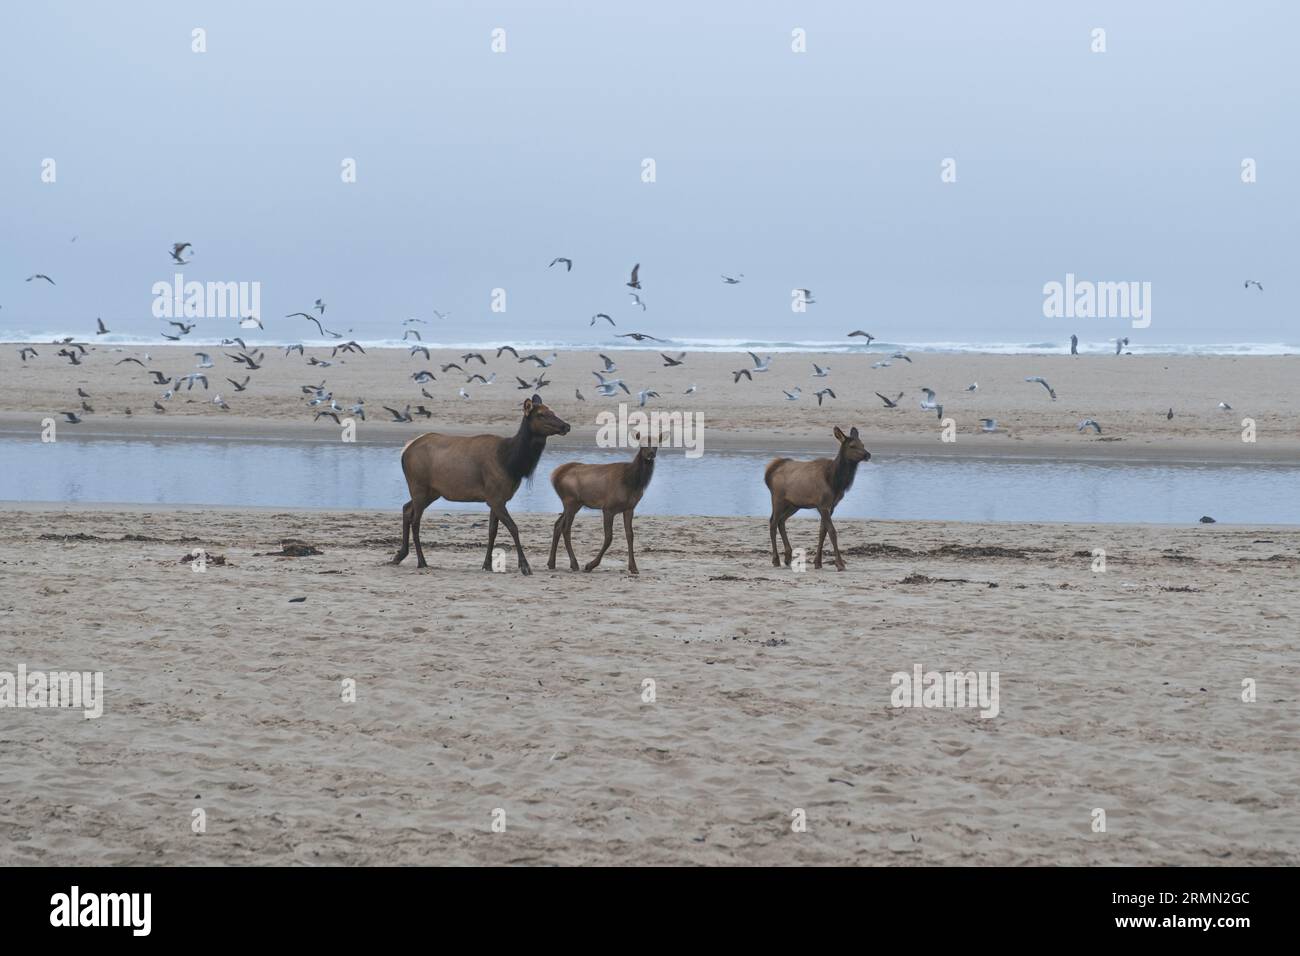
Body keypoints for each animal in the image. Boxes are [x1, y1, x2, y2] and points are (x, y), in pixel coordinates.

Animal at [391, 393, 570, 574]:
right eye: (541, 414)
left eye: (552, 411)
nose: (566, 426)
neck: (511, 464)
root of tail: (405, 451)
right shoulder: (495, 497)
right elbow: (513, 527)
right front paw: (525, 566)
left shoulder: (496, 498)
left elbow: (492, 531)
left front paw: (487, 564)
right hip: (418, 485)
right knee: (415, 521)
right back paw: (421, 561)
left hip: (432, 491)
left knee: (406, 508)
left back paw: (399, 555)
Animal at [547, 427, 665, 574]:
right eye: (642, 444)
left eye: (656, 444)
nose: (651, 454)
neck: (632, 482)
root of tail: (555, 475)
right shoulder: (608, 508)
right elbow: (609, 537)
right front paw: (590, 565)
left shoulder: (629, 508)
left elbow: (630, 535)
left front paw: (633, 567)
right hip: (570, 501)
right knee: (566, 529)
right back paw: (574, 564)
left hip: (574, 504)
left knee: (557, 525)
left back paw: (551, 563)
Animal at [764, 426, 870, 571]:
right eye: (852, 445)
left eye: (863, 444)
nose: (868, 454)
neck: (835, 482)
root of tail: (769, 472)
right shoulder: (823, 504)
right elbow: (832, 531)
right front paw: (840, 564)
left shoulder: (830, 506)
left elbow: (822, 531)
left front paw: (818, 562)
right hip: (778, 498)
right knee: (773, 522)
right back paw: (776, 559)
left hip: (794, 504)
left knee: (781, 521)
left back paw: (788, 557)